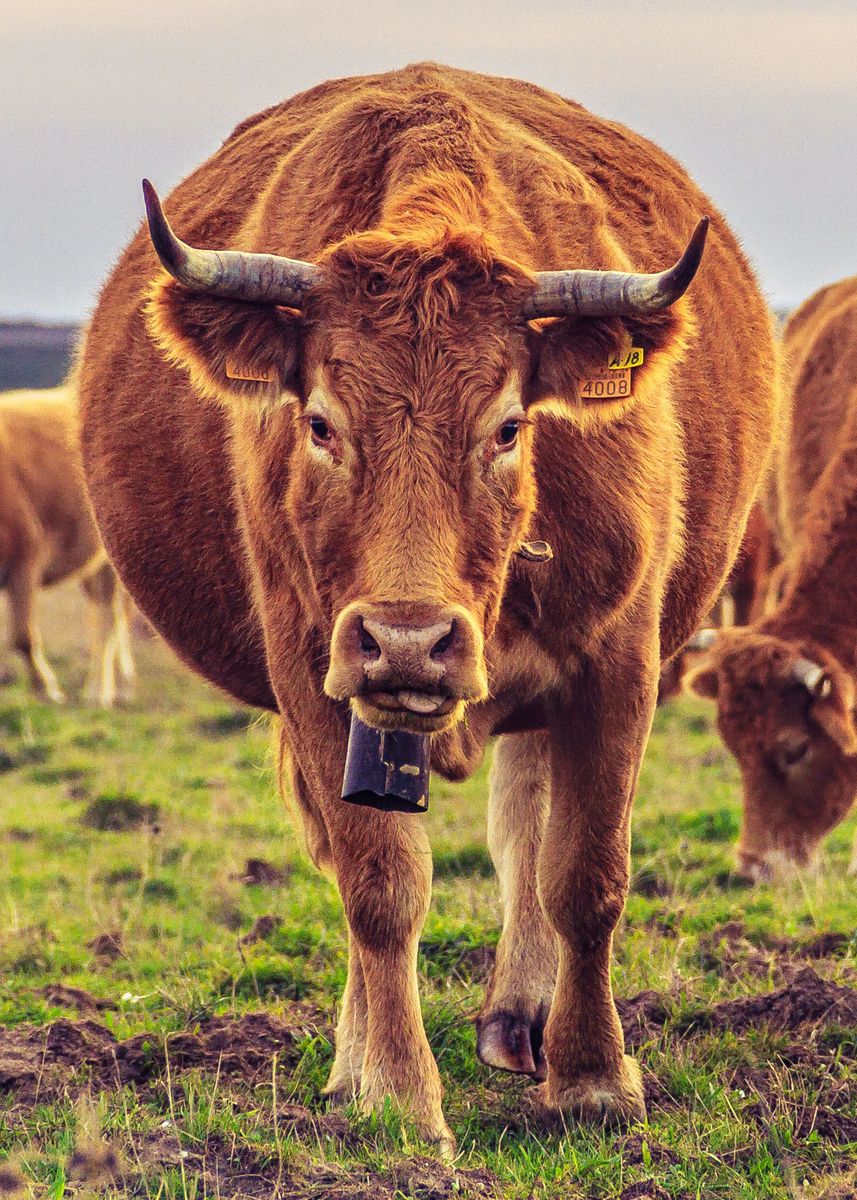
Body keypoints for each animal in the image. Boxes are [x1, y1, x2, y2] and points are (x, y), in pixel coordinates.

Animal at [76, 65, 780, 1149]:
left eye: (507, 426)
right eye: (320, 423)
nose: (408, 642)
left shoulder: (616, 665)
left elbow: (584, 876)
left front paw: (590, 1078)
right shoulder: (314, 674)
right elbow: (378, 888)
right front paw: (400, 1098)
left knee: (523, 832)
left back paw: (519, 1019)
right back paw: (355, 1061)